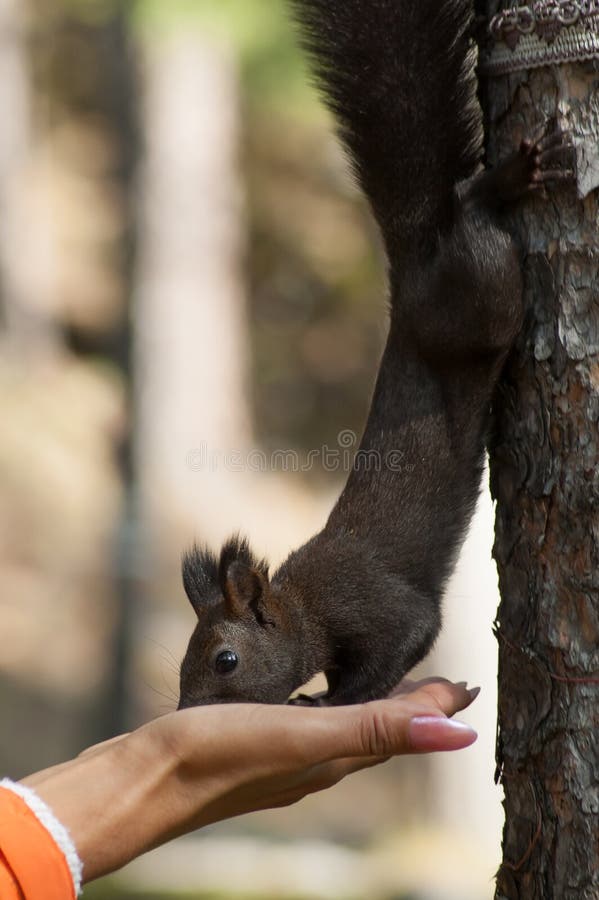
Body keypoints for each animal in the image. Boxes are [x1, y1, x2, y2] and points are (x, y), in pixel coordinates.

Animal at [177, 0, 574, 708]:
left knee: (474, 216)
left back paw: (509, 179)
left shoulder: (374, 606)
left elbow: (409, 637)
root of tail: (411, 263)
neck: (304, 607)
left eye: (225, 661)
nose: (180, 711)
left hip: (479, 298)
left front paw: (329, 700)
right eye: (181, 663)